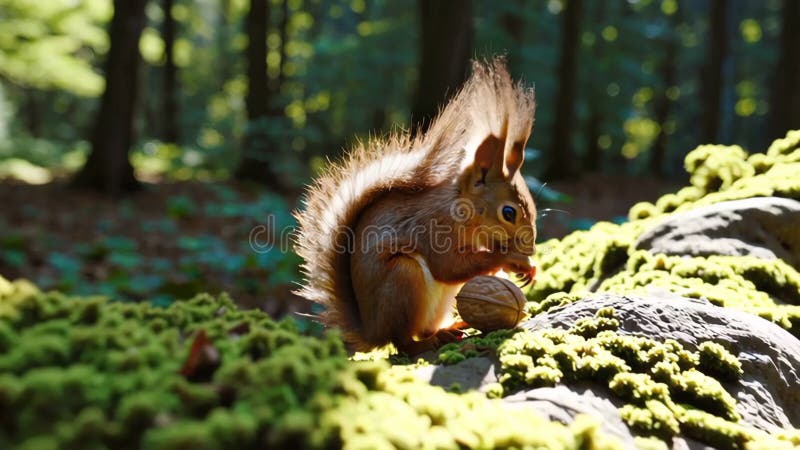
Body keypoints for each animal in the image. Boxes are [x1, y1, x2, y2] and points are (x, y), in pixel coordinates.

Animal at [294, 58, 538, 354]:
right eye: (508, 212)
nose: (530, 248)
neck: (461, 211)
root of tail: (373, 331)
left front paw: (528, 269)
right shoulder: (433, 227)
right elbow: (449, 266)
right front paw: (510, 258)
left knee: (423, 328)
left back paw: (451, 328)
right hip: (403, 278)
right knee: (403, 342)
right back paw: (428, 342)